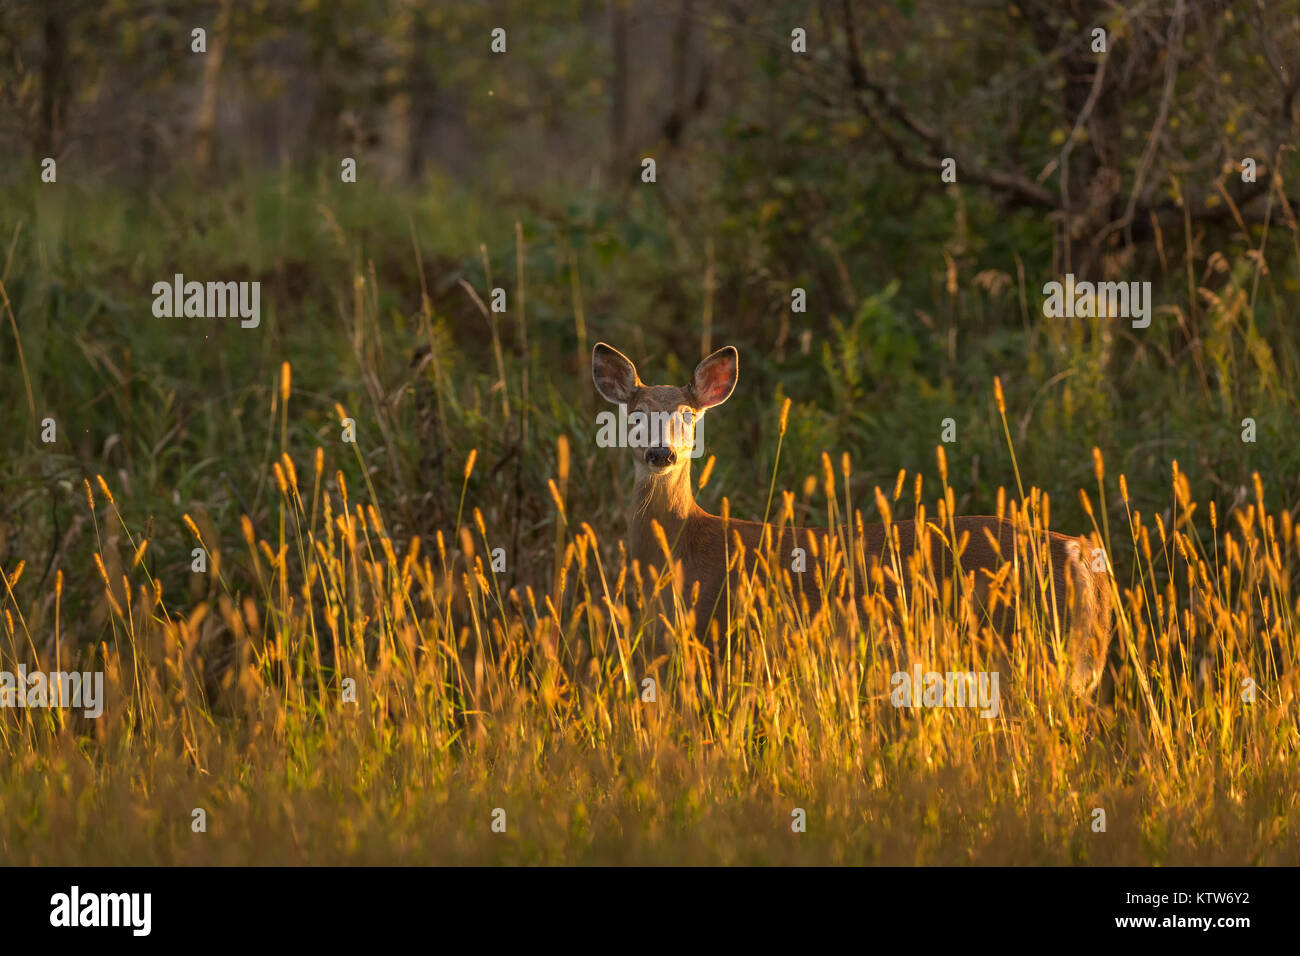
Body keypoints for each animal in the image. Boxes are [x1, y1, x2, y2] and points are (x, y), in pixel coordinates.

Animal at [592, 341, 1113, 697]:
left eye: (688, 416)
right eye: (635, 415)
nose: (661, 453)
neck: (684, 548)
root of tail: (1088, 558)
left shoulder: (720, 636)